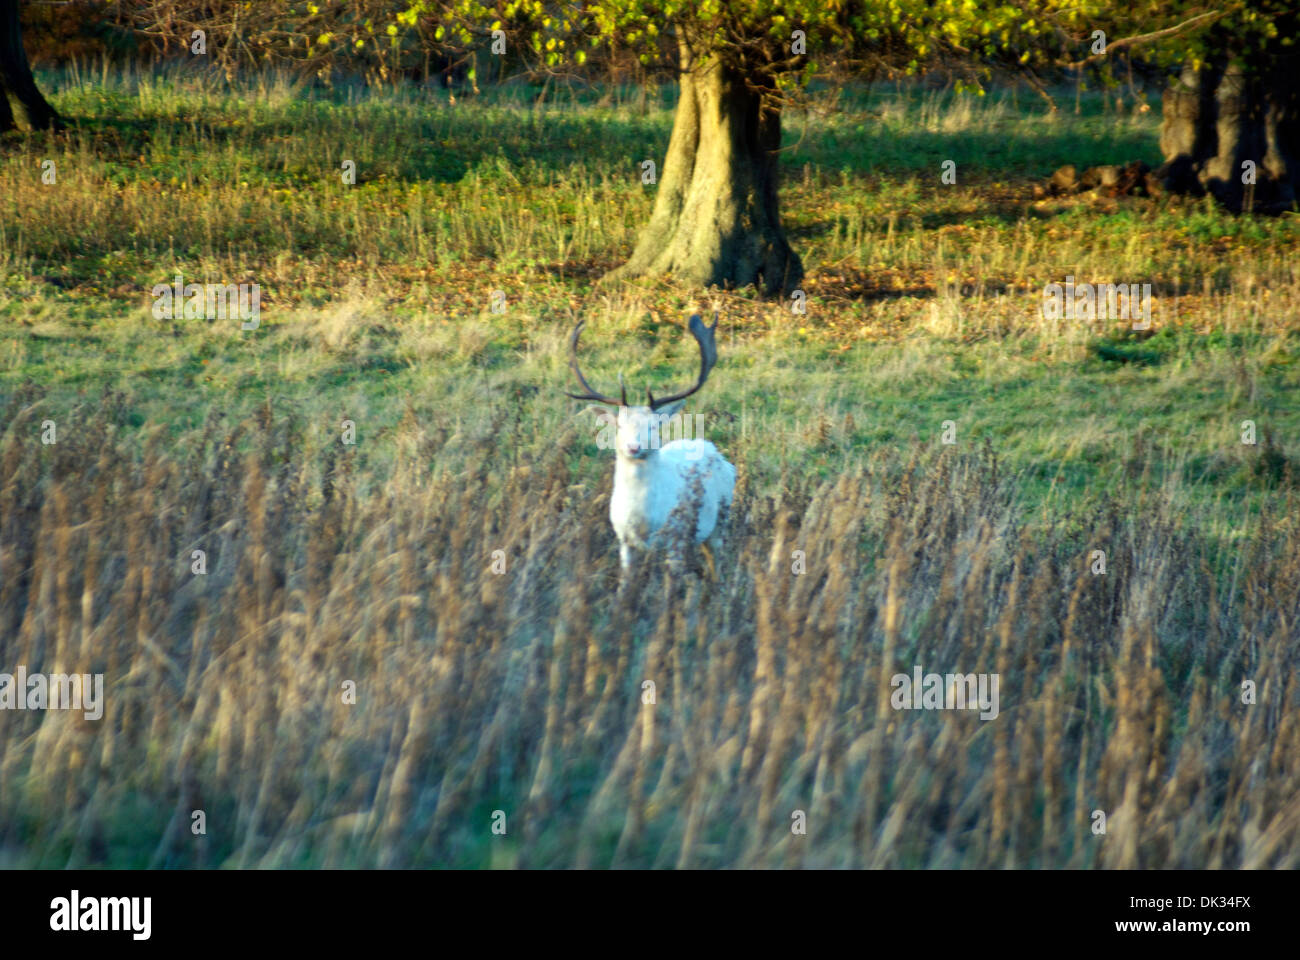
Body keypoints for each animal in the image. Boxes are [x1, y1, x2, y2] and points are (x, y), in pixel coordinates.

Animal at [565, 314, 736, 578]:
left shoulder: (675, 537)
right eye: (619, 425)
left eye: (654, 426)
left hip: (721, 518)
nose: (634, 447)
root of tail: (713, 449)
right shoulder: (623, 540)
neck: (643, 521)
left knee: (716, 559)